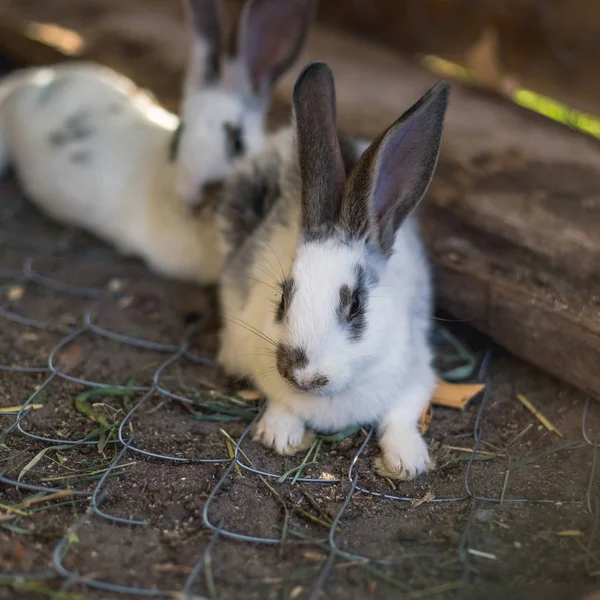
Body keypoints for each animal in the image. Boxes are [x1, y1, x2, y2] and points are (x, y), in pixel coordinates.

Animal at [218, 61, 448, 480]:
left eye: (355, 305)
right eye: (283, 297)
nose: (303, 375)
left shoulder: (417, 374)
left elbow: (400, 417)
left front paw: (408, 462)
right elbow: (279, 401)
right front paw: (279, 435)